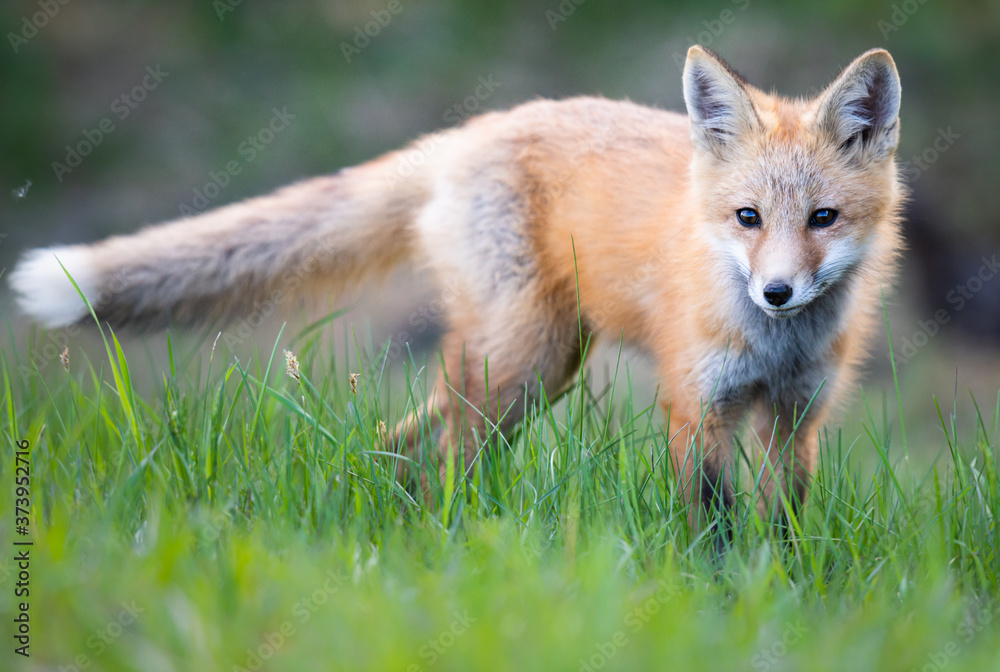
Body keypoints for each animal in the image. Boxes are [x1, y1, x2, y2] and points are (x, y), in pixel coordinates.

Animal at [10, 46, 903, 530]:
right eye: (747, 217)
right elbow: (711, 530)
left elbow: (782, 532)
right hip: (522, 364)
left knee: (404, 439)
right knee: (444, 454)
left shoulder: (794, 419)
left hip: (532, 371)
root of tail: (470, 130)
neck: (774, 345)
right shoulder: (697, 407)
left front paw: (775, 592)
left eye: (822, 218)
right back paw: (438, 533)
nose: (777, 293)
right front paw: (713, 596)